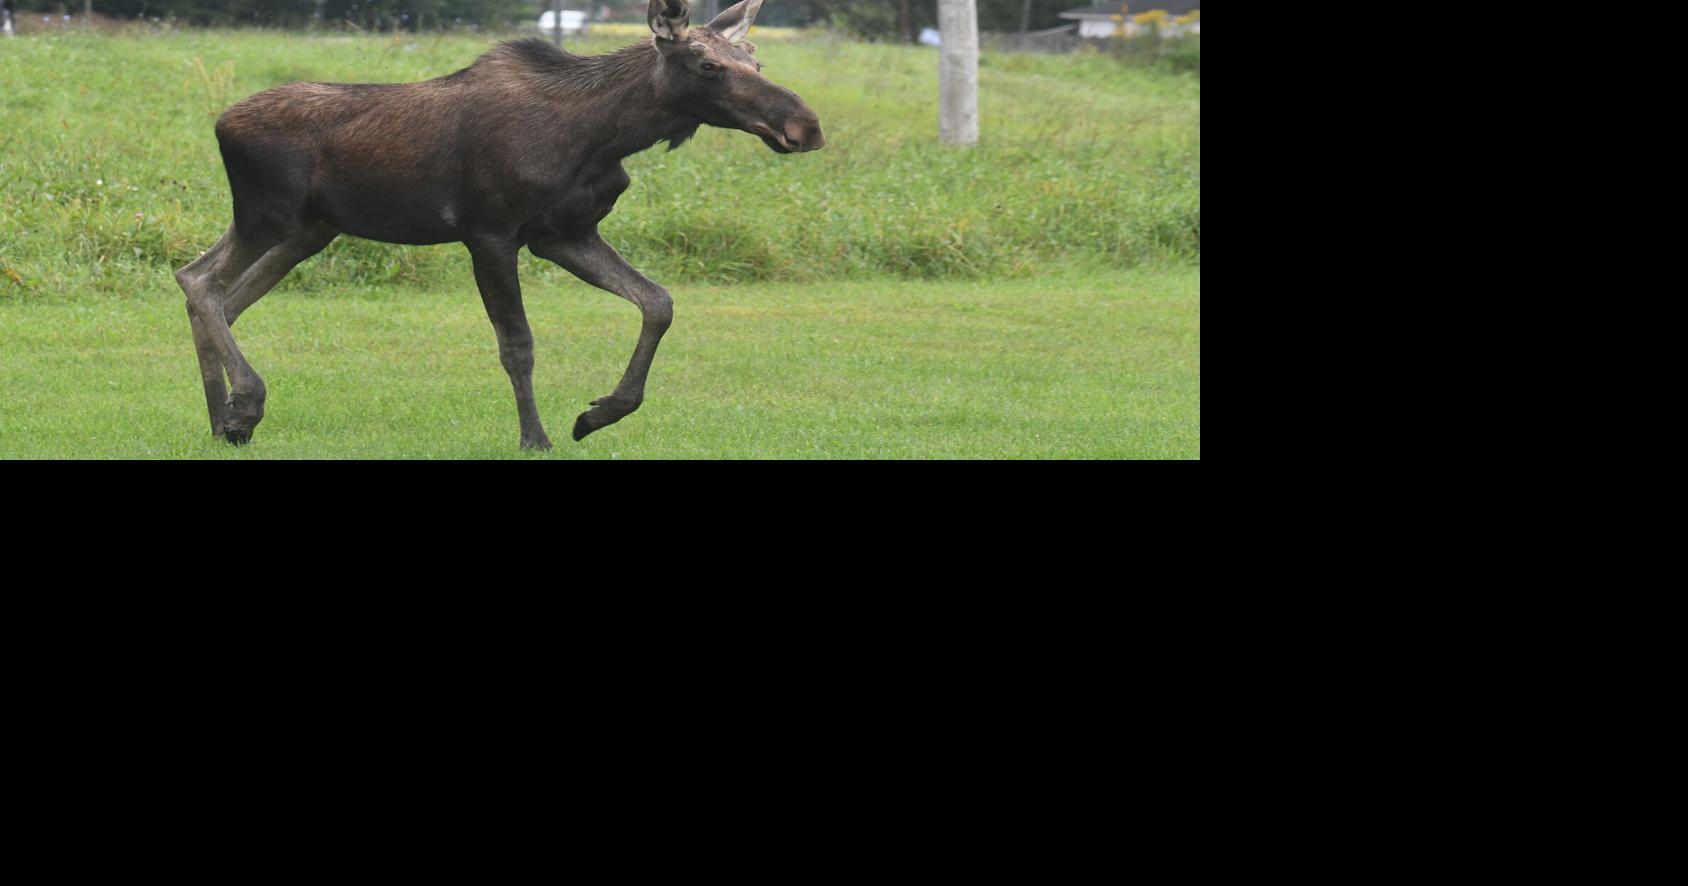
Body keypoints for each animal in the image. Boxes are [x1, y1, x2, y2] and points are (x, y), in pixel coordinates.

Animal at [174, 0, 823, 449]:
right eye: (709, 64)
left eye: (757, 59)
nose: (806, 125)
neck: (607, 136)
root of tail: (219, 122)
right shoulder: (488, 231)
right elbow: (518, 344)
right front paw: (536, 436)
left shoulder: (562, 233)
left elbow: (657, 302)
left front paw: (598, 413)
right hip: (268, 215)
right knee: (199, 281)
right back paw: (245, 404)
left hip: (309, 230)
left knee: (220, 295)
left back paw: (221, 421)